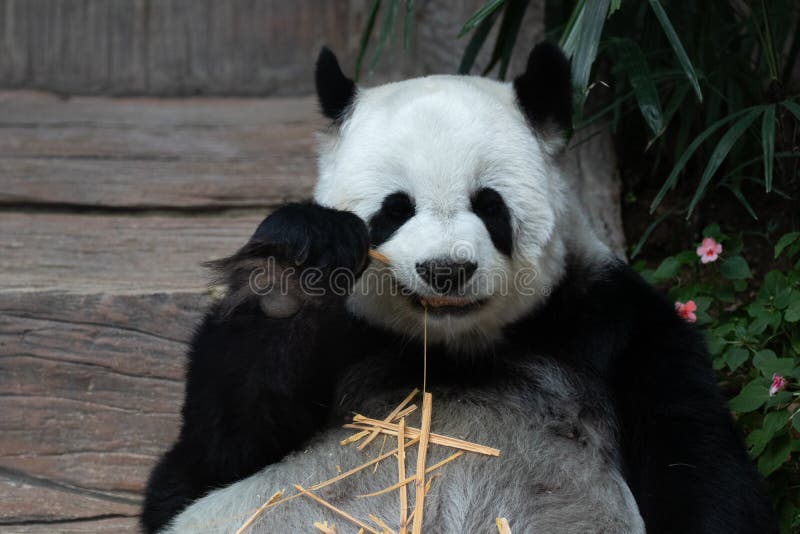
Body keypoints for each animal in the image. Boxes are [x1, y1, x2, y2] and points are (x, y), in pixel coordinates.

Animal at [141, 43, 777, 533]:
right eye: (394, 210)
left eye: (489, 206)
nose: (446, 270)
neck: (452, 348)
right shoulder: (348, 338)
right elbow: (209, 457)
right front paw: (295, 275)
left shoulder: (610, 323)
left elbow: (697, 461)